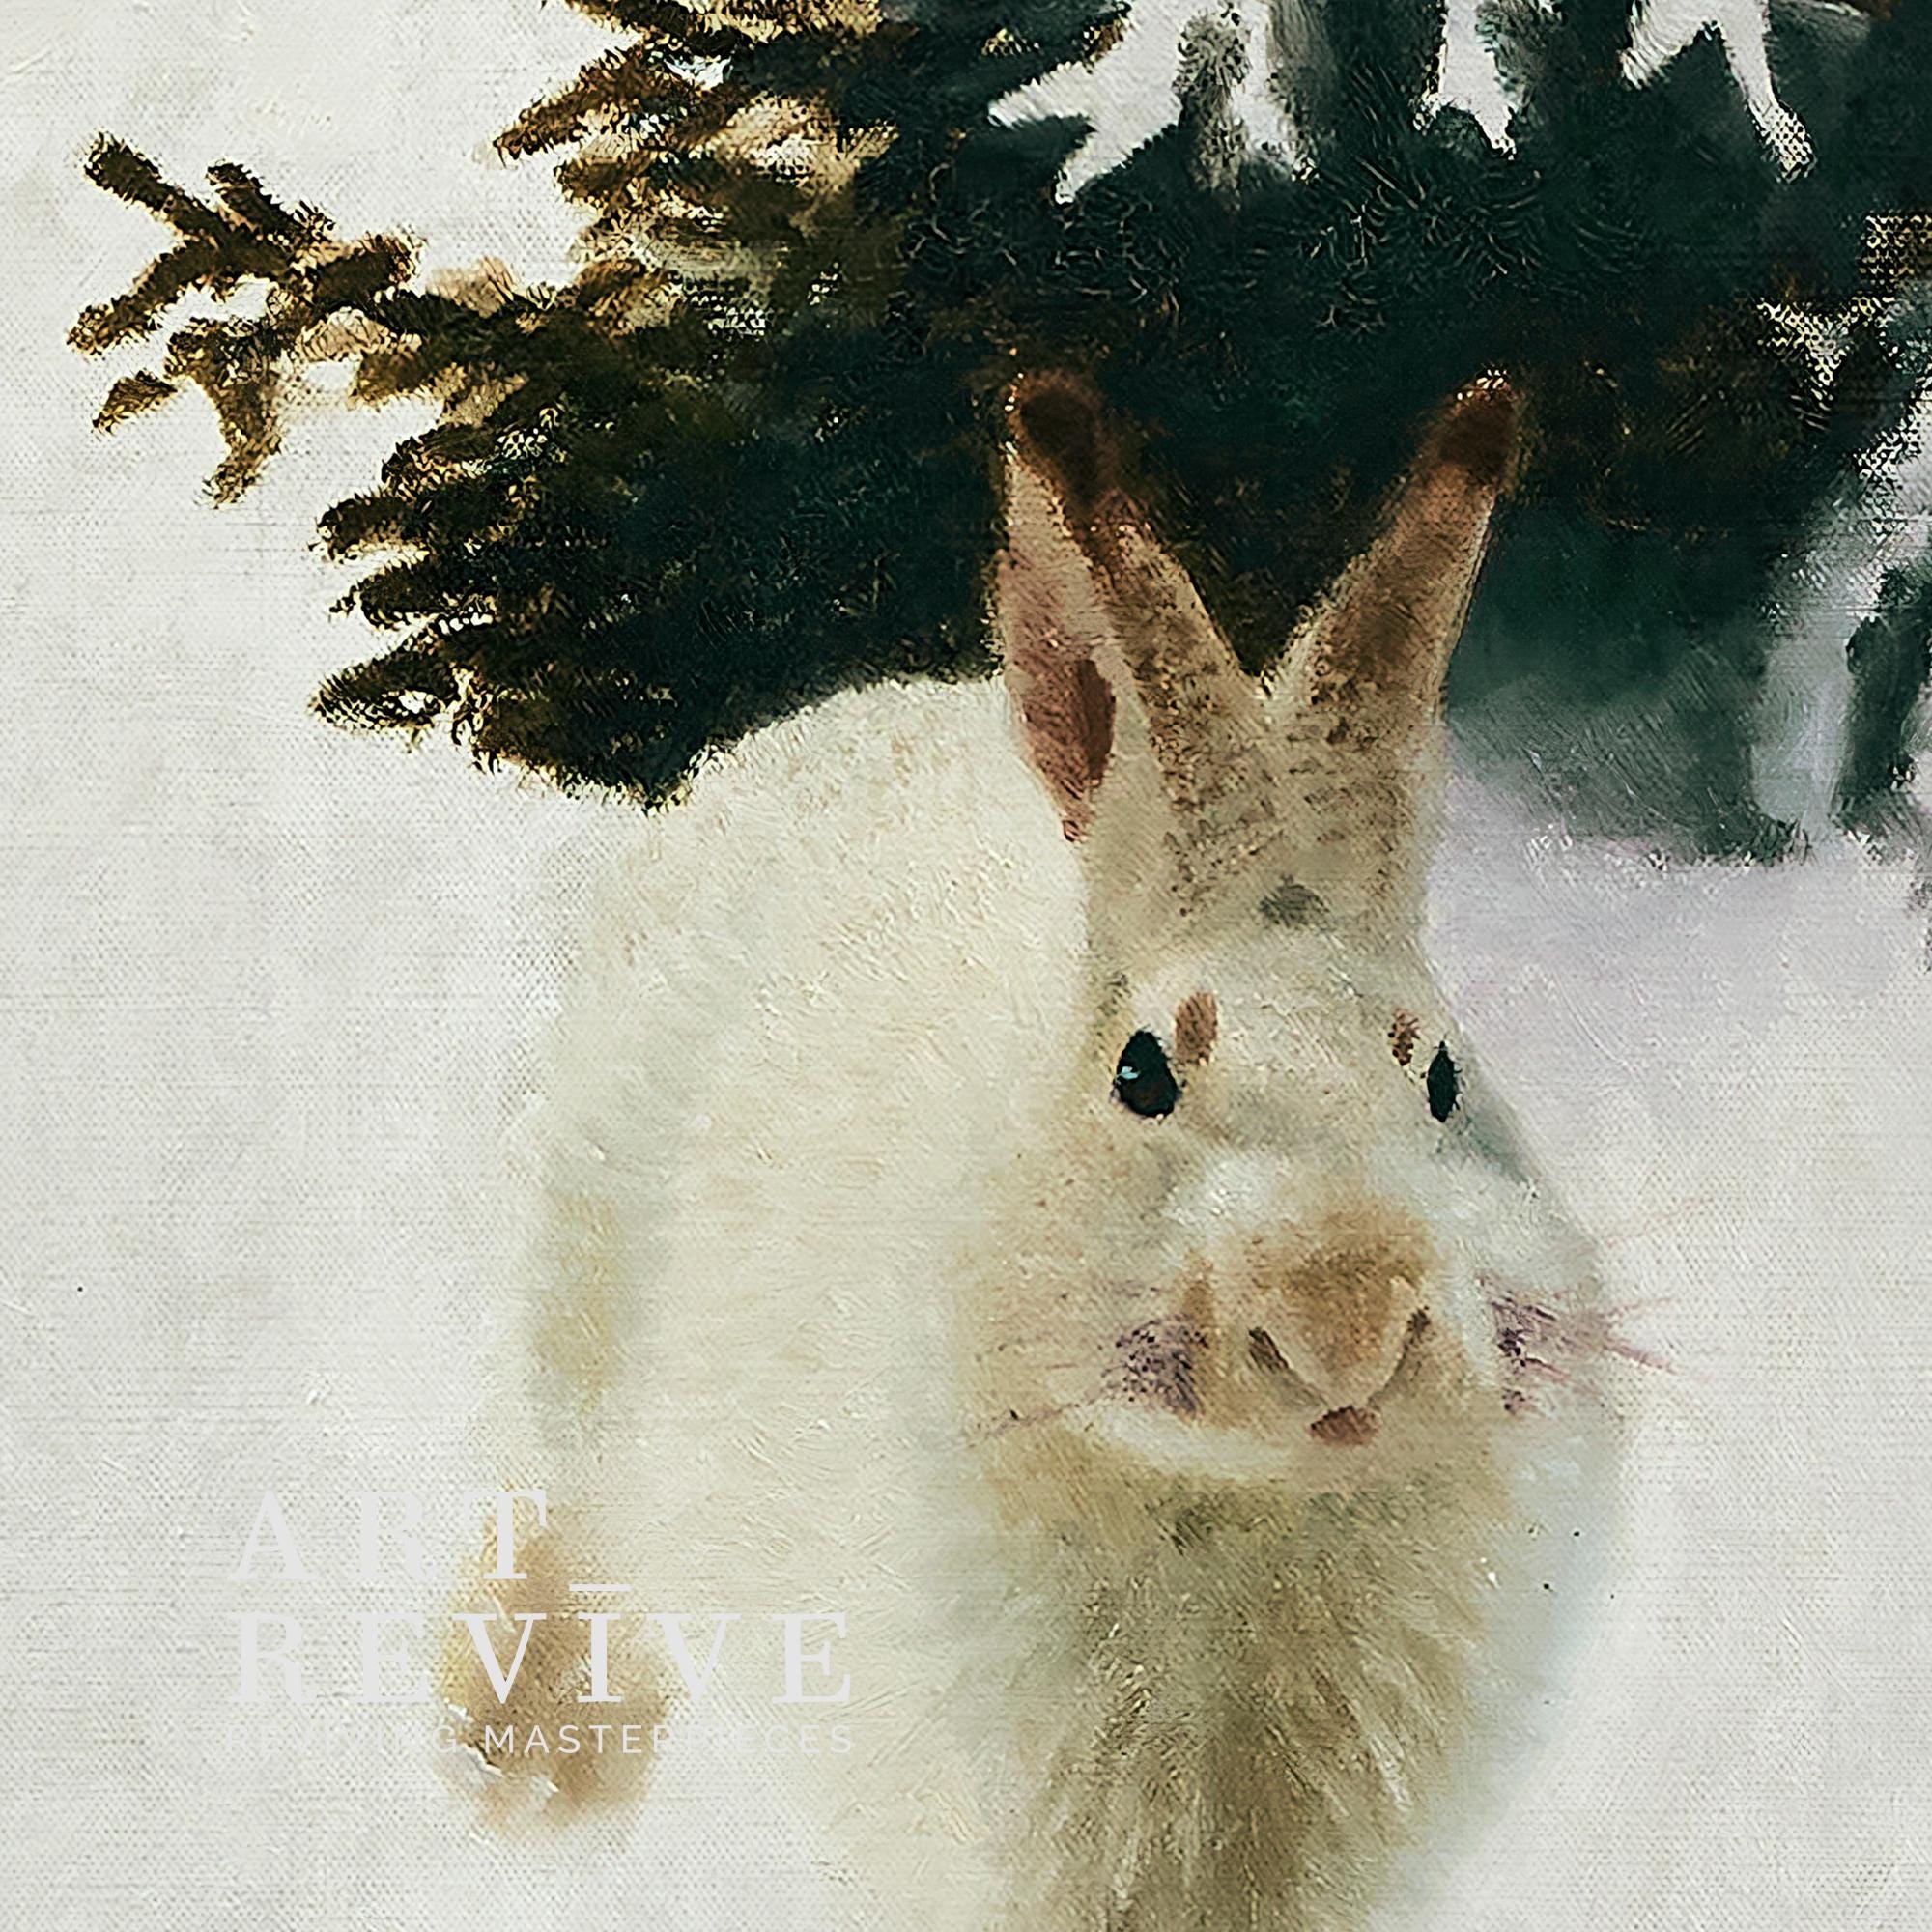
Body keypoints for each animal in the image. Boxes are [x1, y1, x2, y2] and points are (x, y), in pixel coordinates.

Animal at [443, 371, 1621, 1932]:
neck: (1238, 1505)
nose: (1346, 1329)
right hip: (574, 1329)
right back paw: (533, 1792)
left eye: (1440, 1075)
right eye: (1140, 1072)